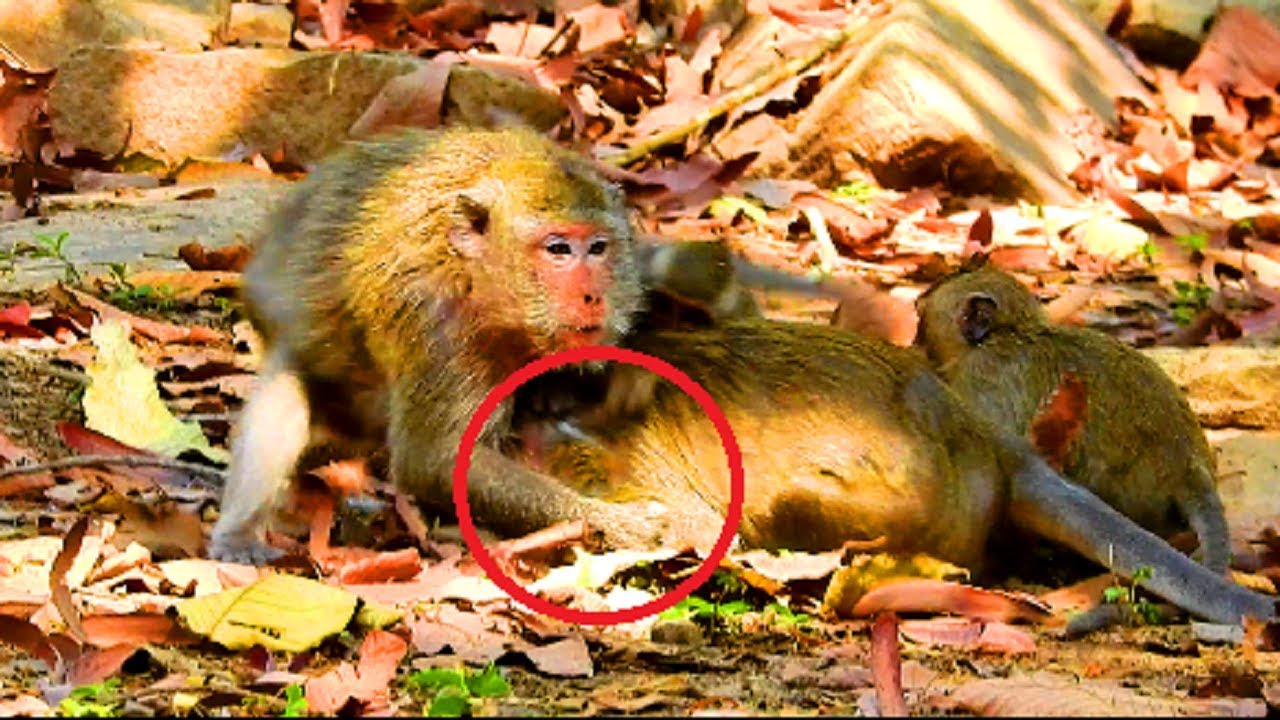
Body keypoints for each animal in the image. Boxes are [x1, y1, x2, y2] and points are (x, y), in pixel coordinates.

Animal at [209, 126, 692, 563]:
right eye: (558, 249)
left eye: (597, 248)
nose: (594, 295)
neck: (474, 273)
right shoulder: (434, 319)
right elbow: (436, 463)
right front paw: (617, 522)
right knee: (287, 390)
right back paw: (239, 533)